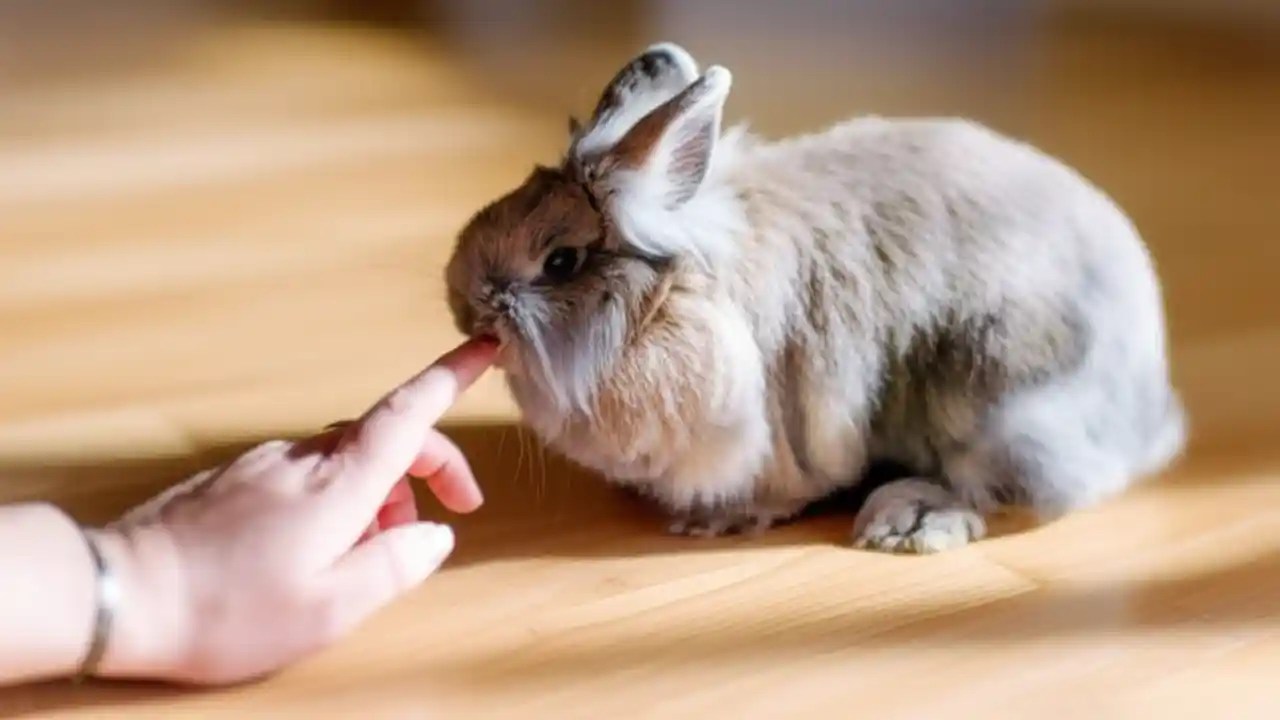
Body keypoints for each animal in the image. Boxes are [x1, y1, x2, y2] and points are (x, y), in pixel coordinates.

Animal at [444, 42, 1186, 553]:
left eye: (560, 261)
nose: (464, 302)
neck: (670, 307)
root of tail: (1148, 415)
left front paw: (711, 522)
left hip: (993, 391)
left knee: (1001, 489)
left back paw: (906, 522)